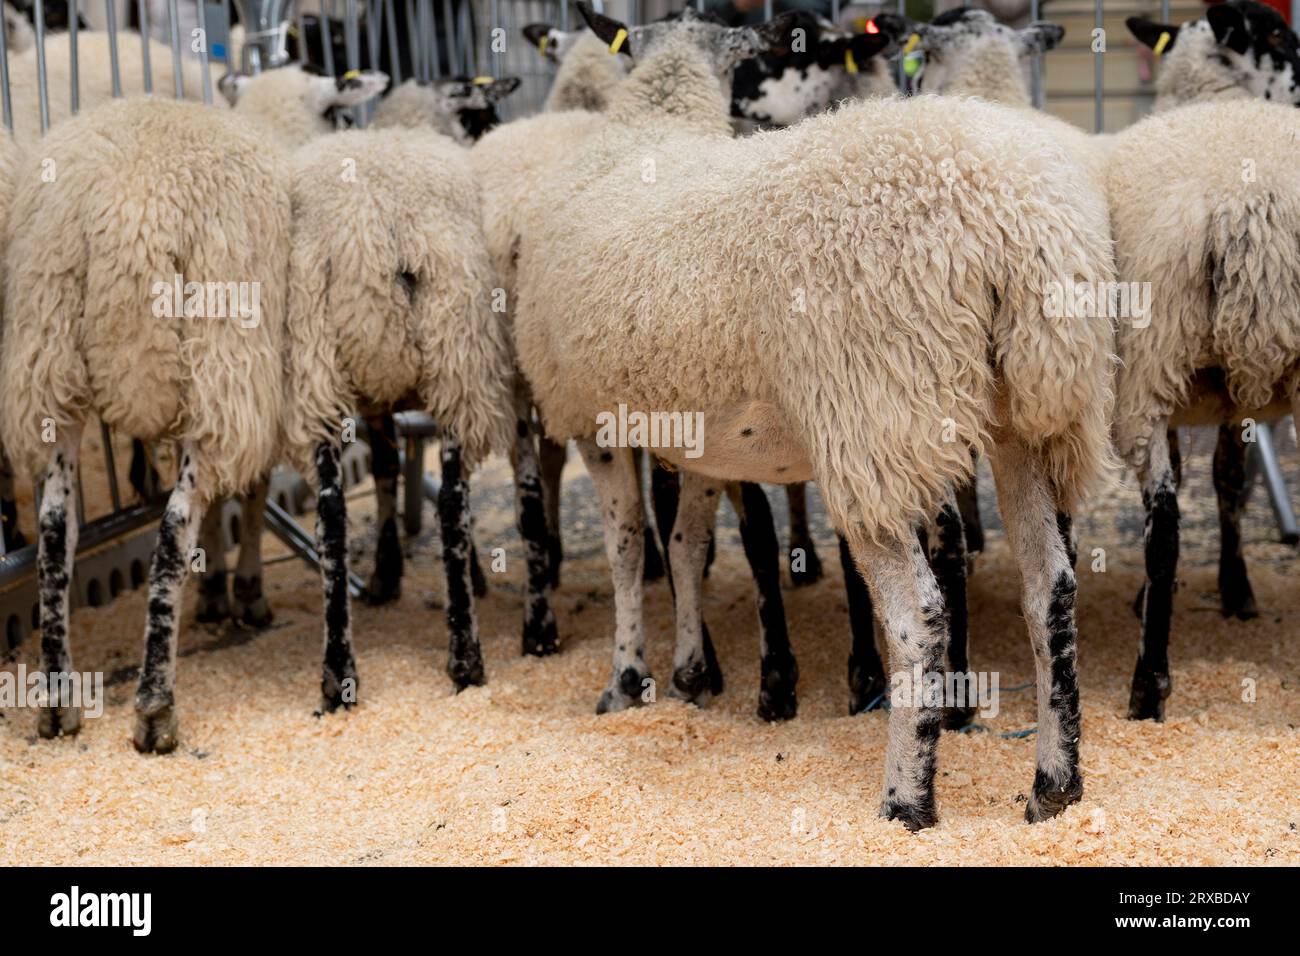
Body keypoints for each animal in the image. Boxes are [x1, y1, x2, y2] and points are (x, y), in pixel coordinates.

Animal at [509, 4, 1114, 828]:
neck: (651, 121)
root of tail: (1013, 222)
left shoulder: (592, 420)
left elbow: (630, 546)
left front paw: (627, 681)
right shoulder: (694, 432)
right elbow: (684, 541)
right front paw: (691, 675)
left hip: (874, 414)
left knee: (918, 612)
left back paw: (906, 799)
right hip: (1023, 416)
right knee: (1050, 587)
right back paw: (1055, 784)